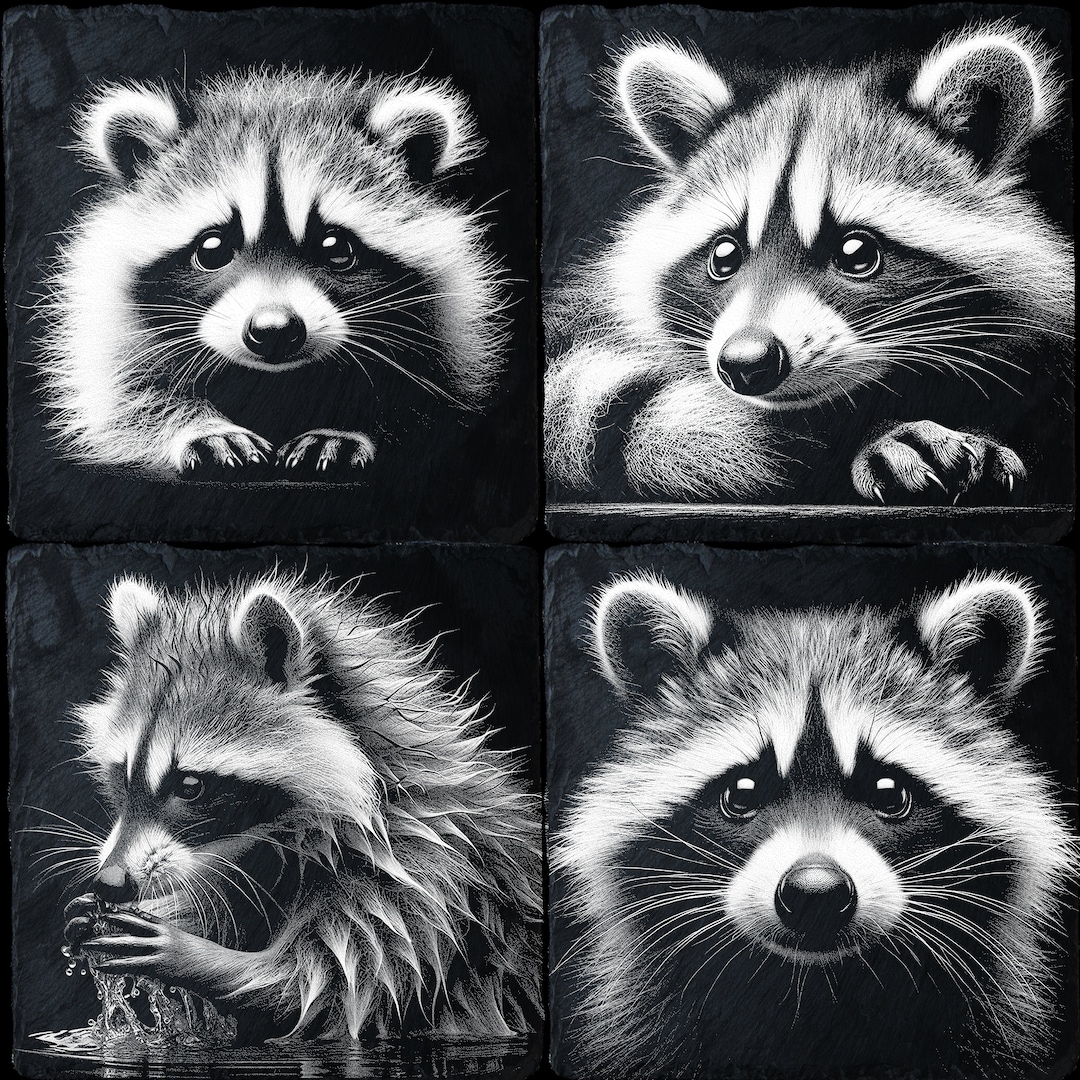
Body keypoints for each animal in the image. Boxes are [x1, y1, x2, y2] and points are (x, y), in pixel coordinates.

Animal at [37, 66, 510, 477]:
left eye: (336, 248)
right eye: (212, 249)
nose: (274, 330)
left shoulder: (452, 332)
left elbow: (429, 406)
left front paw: (346, 426)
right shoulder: (113, 327)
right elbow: (125, 398)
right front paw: (198, 426)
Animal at [60, 571, 541, 1042]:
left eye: (190, 785)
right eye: (123, 773)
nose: (110, 881)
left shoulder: (420, 874)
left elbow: (332, 988)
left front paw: (196, 957)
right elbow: (235, 910)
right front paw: (169, 915)